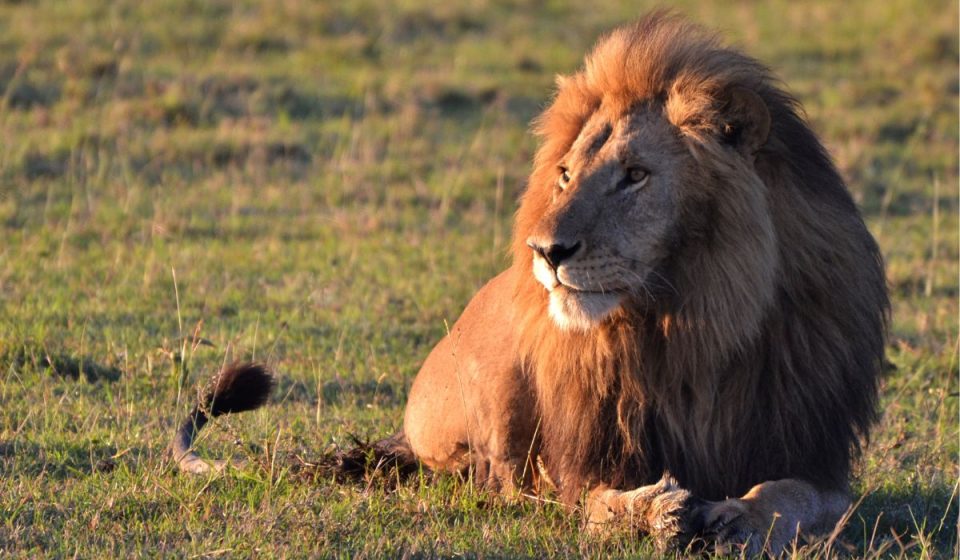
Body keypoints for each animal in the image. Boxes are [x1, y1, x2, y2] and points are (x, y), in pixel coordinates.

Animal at [172, 12, 888, 555]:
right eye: (566, 173)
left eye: (634, 175)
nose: (545, 251)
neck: (693, 321)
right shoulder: (591, 455)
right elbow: (598, 501)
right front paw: (656, 510)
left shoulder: (814, 452)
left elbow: (791, 494)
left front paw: (740, 516)